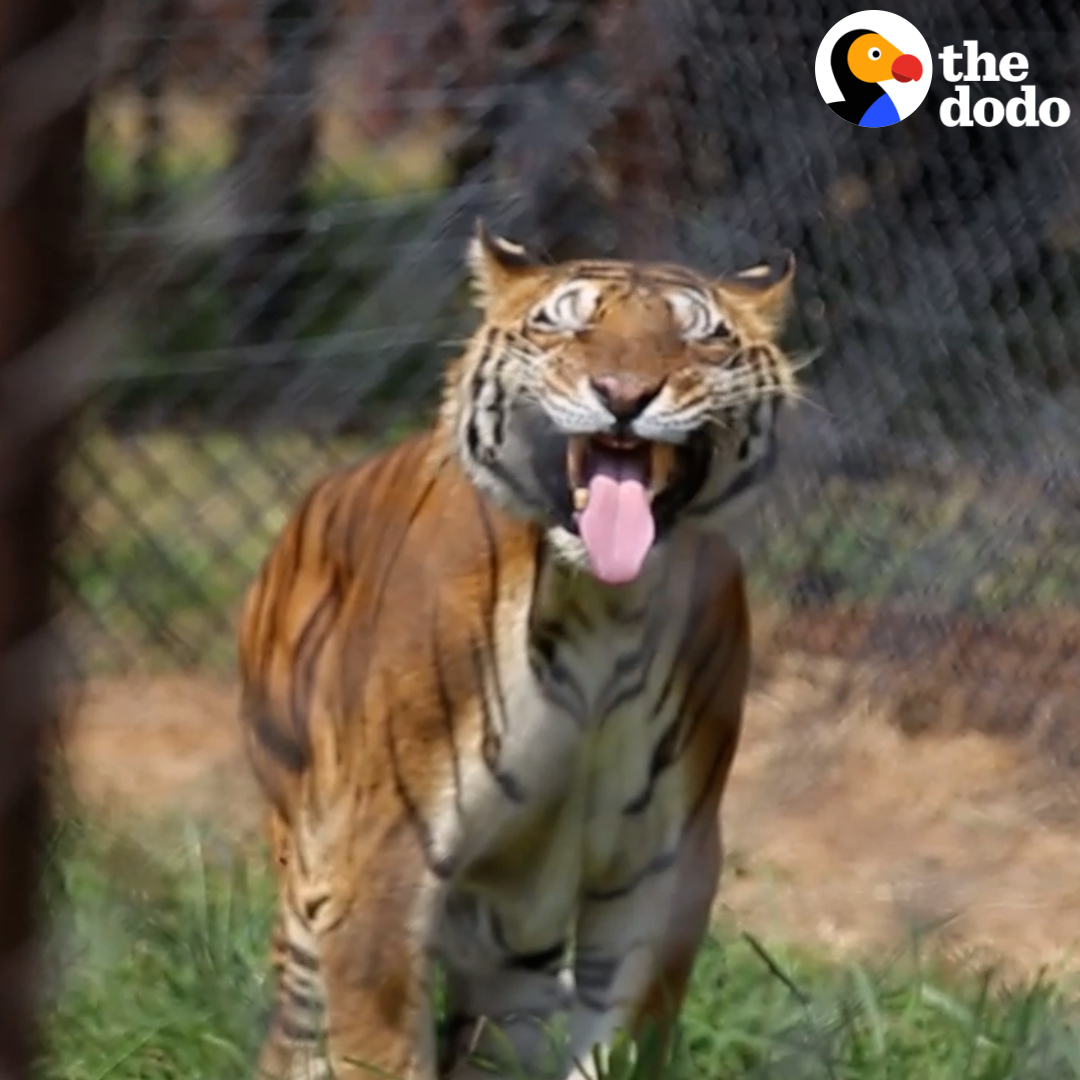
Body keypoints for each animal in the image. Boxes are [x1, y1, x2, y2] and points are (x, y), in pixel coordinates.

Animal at [238, 221, 798, 1080]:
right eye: (564, 325)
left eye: (699, 336)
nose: (624, 395)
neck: (604, 607)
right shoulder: (383, 862)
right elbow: (381, 1048)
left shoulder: (659, 872)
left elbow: (616, 1043)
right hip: (305, 868)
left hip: (516, 949)